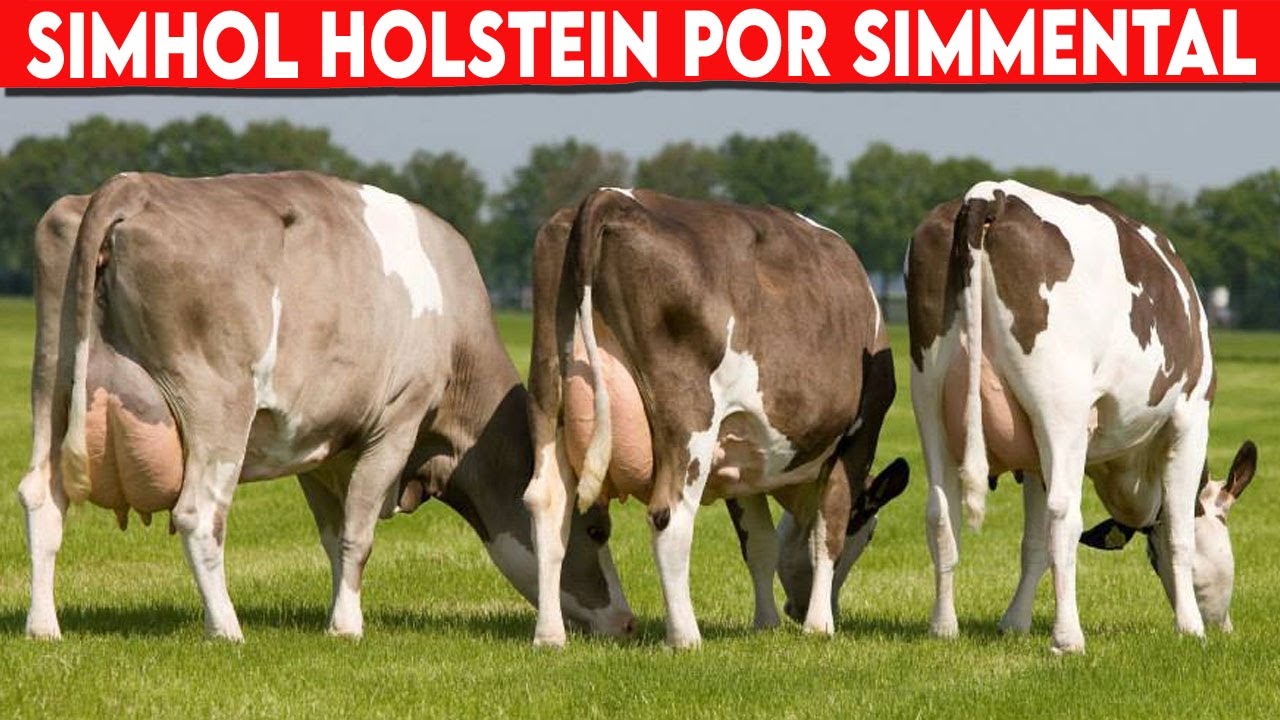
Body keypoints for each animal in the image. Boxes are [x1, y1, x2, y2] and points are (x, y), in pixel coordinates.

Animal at [16, 173, 634, 641]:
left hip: (51, 387)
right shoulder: (398, 421)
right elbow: (359, 531)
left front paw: (338, 611)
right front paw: (347, 627)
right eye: (596, 529)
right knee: (198, 513)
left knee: (42, 498)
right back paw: (227, 629)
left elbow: (335, 535)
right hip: (217, 406)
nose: (627, 622)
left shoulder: (321, 447)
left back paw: (44, 628)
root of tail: (134, 185)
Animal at [523, 188, 908, 648]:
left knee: (547, 506)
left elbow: (760, 544)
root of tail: (612, 197)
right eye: (868, 534)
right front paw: (819, 626)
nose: (797, 610)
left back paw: (549, 635)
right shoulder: (858, 437)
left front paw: (767, 623)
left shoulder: (743, 454)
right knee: (669, 517)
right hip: (689, 422)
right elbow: (826, 532)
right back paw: (685, 637)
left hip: (549, 397)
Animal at [907, 179, 1259, 654]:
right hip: (1061, 407)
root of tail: (990, 193)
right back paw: (1068, 637)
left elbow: (1033, 543)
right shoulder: (1191, 417)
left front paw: (1013, 622)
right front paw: (1190, 627)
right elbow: (1180, 531)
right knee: (1063, 515)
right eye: (1223, 527)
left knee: (941, 511)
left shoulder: (1033, 457)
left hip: (929, 399)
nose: (1224, 625)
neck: (1131, 473)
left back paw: (943, 627)